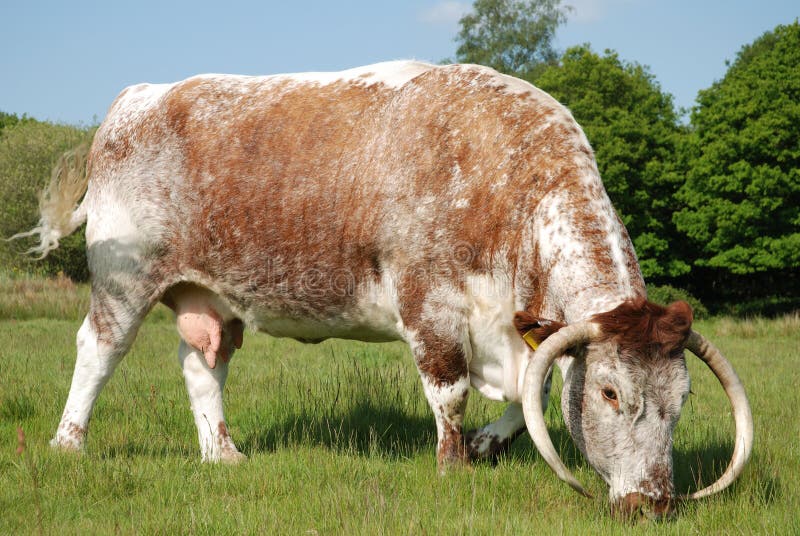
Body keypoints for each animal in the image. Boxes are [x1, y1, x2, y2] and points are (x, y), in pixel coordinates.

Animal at [17, 60, 752, 519]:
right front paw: (453, 465)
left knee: (202, 365)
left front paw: (484, 445)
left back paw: (222, 454)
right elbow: (449, 391)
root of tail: (138, 97)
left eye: (683, 398)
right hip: (124, 279)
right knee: (99, 351)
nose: (653, 503)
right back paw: (69, 443)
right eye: (609, 393)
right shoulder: (432, 307)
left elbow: (531, 394)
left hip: (213, 297)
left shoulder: (521, 333)